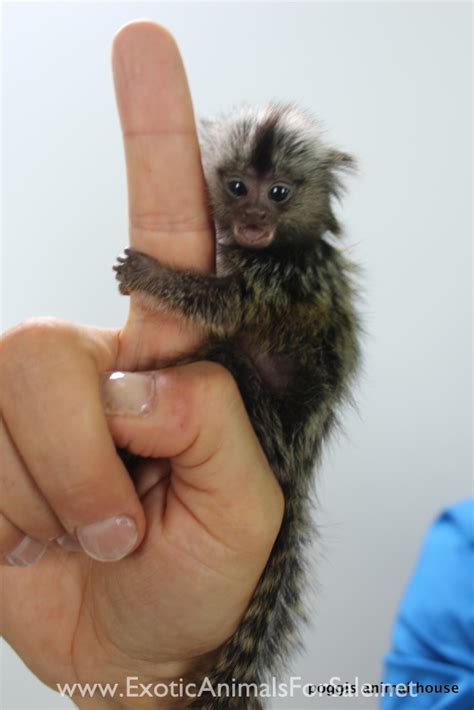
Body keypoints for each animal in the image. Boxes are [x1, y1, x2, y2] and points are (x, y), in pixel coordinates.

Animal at [114, 103, 361, 709]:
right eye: (237, 187)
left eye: (278, 192)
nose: (252, 217)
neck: (280, 246)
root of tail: (298, 466)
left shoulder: (281, 276)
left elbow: (224, 308)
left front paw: (151, 276)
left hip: (264, 416)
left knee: (228, 354)